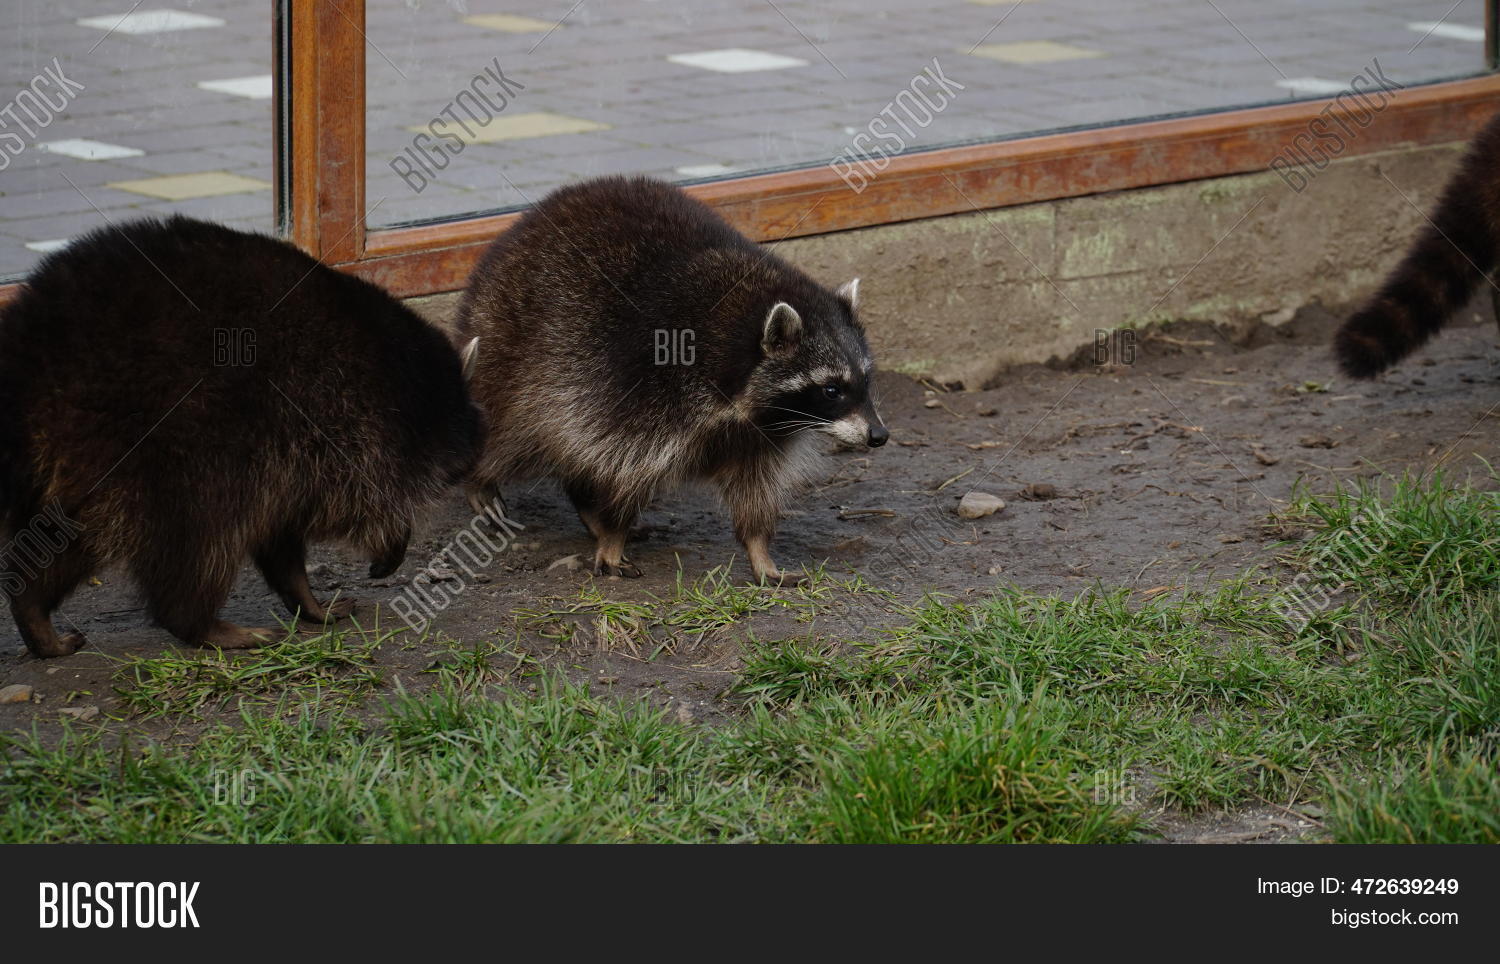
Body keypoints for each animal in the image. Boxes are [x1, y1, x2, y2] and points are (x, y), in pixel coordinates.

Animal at [0, 216, 484, 657]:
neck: (424, 387)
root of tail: (29, 354)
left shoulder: (294, 458)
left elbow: (282, 534)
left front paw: (303, 597)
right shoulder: (361, 426)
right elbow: (370, 503)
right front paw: (393, 540)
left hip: (86, 465)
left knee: (65, 537)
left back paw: (31, 607)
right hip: (163, 441)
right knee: (200, 534)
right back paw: (198, 623)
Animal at [458, 176, 886, 584]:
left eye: (866, 381)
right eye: (831, 389)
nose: (879, 436)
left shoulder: (760, 435)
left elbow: (754, 489)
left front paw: (759, 551)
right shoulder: (641, 388)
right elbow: (621, 467)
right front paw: (613, 534)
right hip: (510, 349)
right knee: (515, 428)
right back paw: (483, 476)